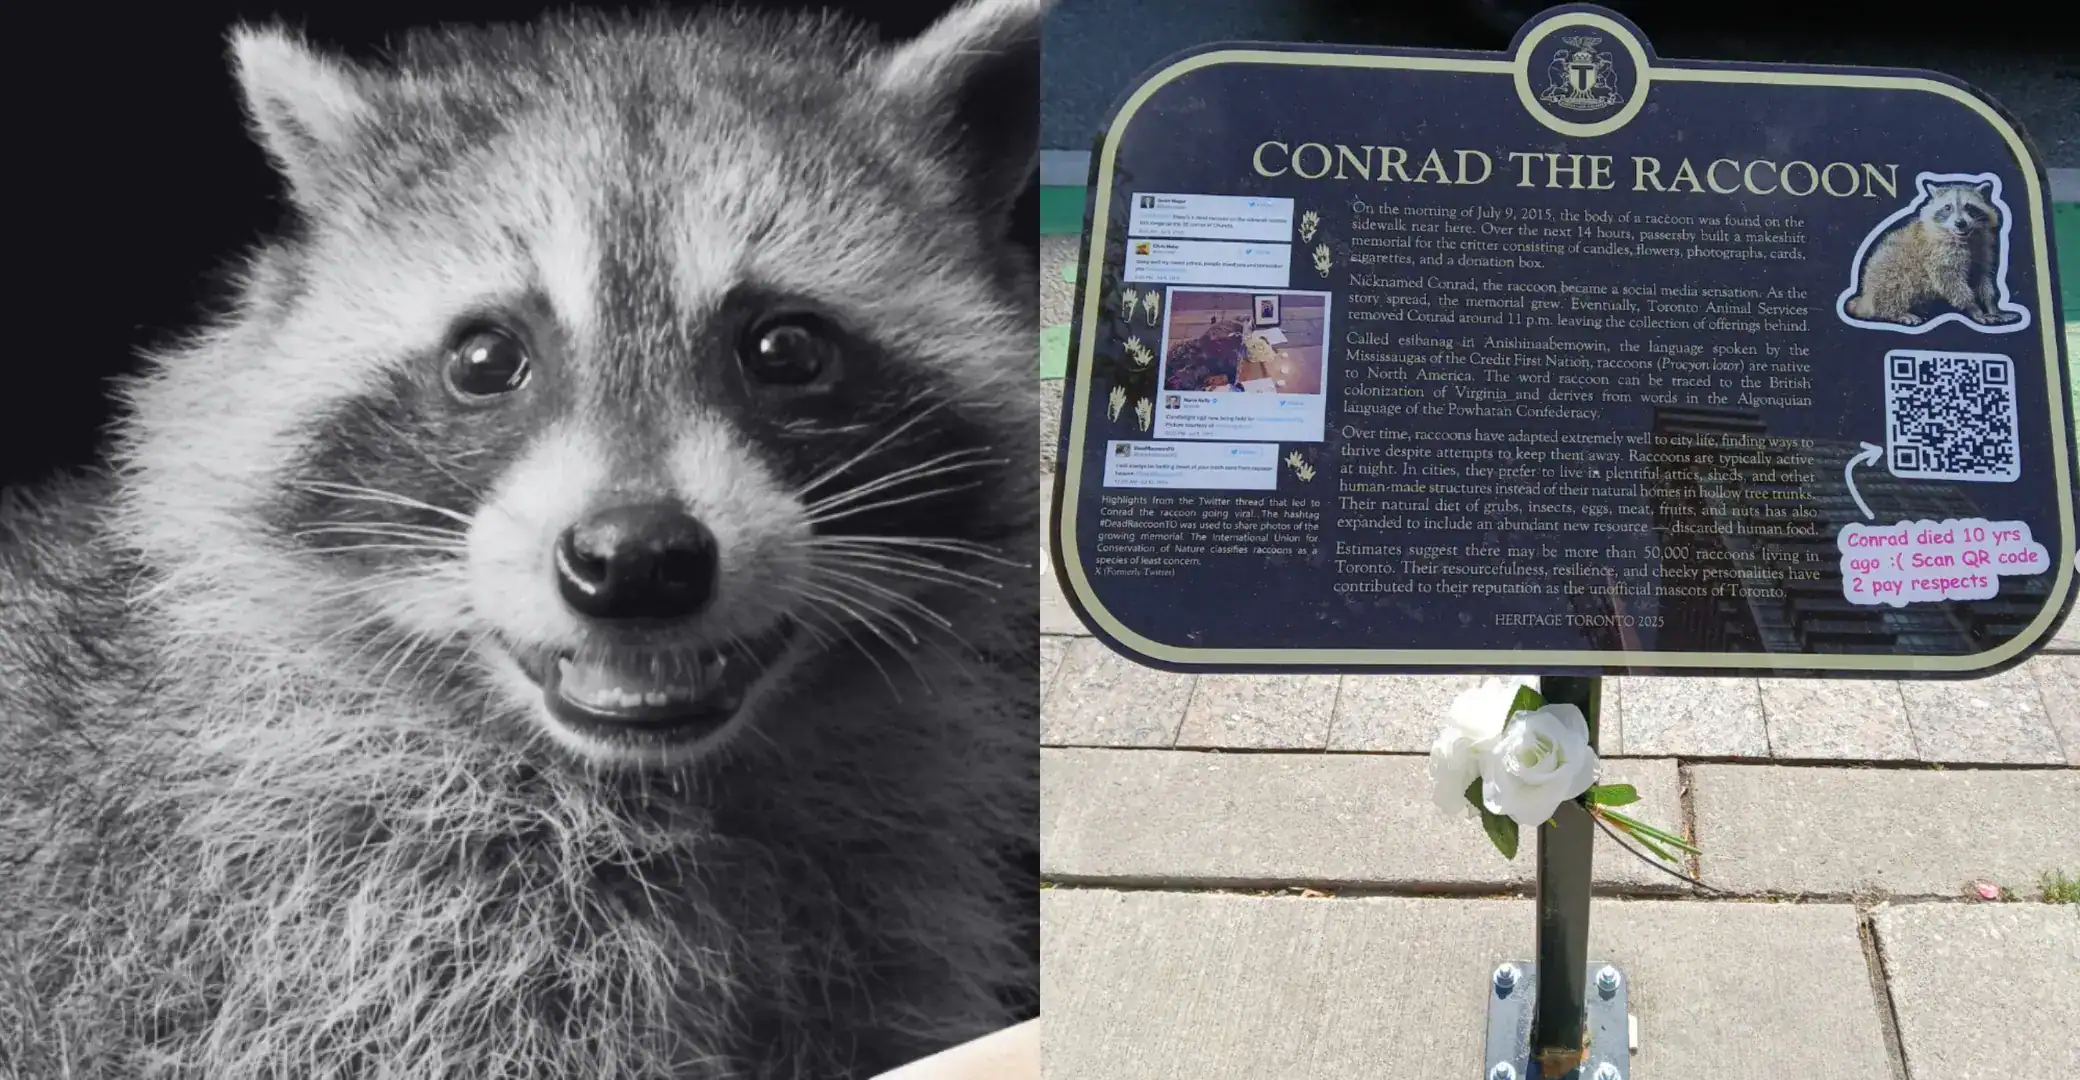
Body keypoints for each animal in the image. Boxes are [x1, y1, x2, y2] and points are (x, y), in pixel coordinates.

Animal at [1844, 178, 2021, 328]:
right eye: (1948, 207)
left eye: (1969, 207)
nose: (1960, 223)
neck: (1965, 238)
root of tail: (1867, 296)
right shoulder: (1938, 254)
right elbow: (1950, 281)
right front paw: (1974, 307)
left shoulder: (1982, 249)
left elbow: (1982, 277)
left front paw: (1992, 306)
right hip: (1887, 276)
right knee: (1901, 283)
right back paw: (1896, 312)